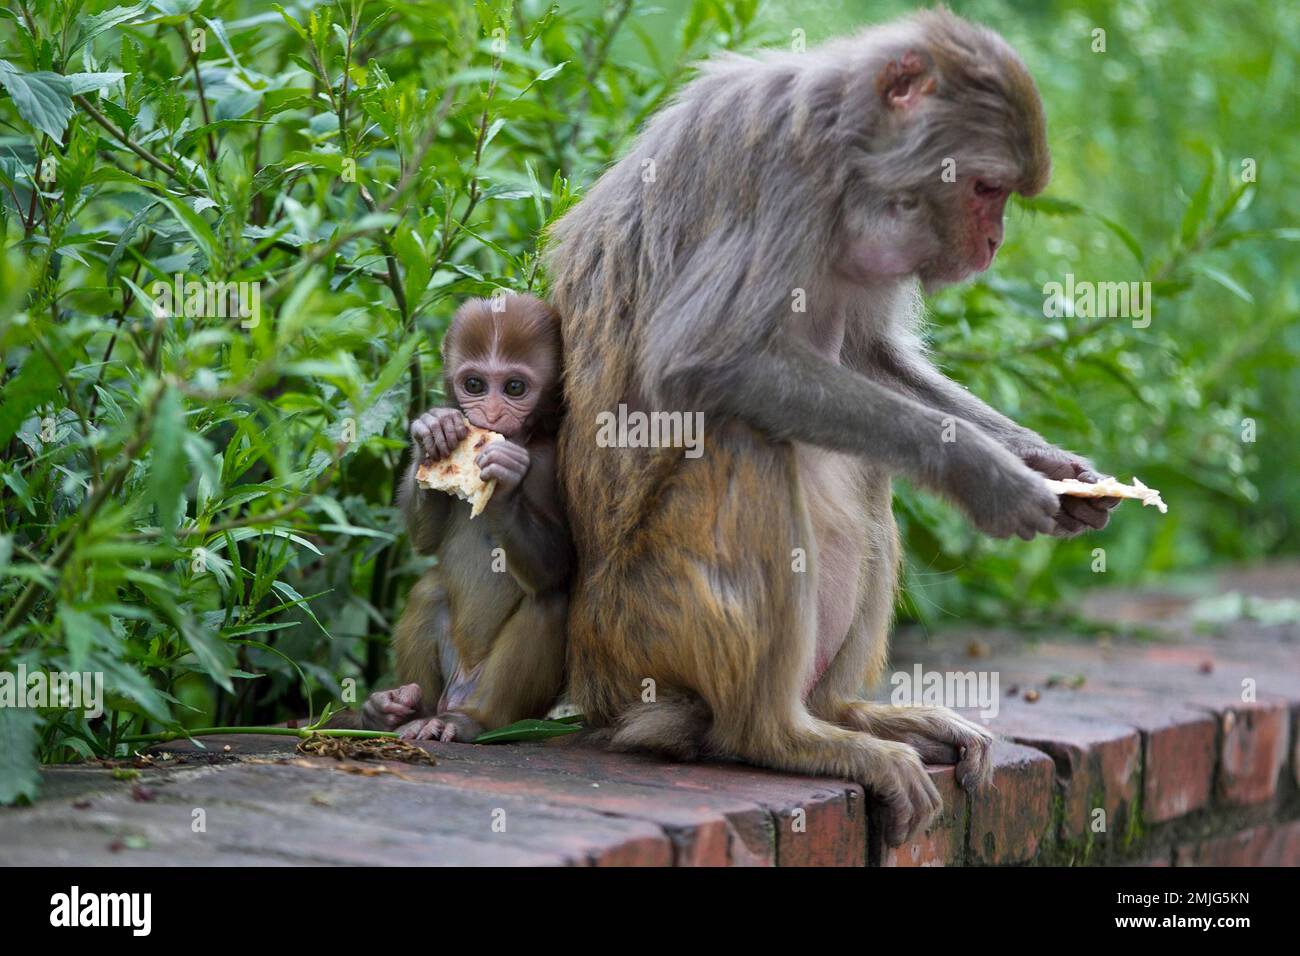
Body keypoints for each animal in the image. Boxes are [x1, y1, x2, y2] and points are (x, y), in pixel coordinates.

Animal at [357, 293, 572, 742]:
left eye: (514, 388)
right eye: (474, 385)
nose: (489, 415)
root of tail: (459, 691)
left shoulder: (554, 461)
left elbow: (557, 566)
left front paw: (504, 483)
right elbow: (425, 541)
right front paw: (433, 432)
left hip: (501, 699)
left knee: (549, 601)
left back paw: (472, 722)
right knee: (430, 588)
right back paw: (398, 713)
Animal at [542, 9, 1118, 846]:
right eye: (987, 189)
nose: (995, 242)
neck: (850, 169)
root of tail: (590, 673)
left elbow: (868, 359)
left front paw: (1046, 464)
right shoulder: (785, 177)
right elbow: (701, 361)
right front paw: (987, 476)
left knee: (868, 463)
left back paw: (851, 714)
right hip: (648, 630)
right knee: (742, 435)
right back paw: (782, 735)